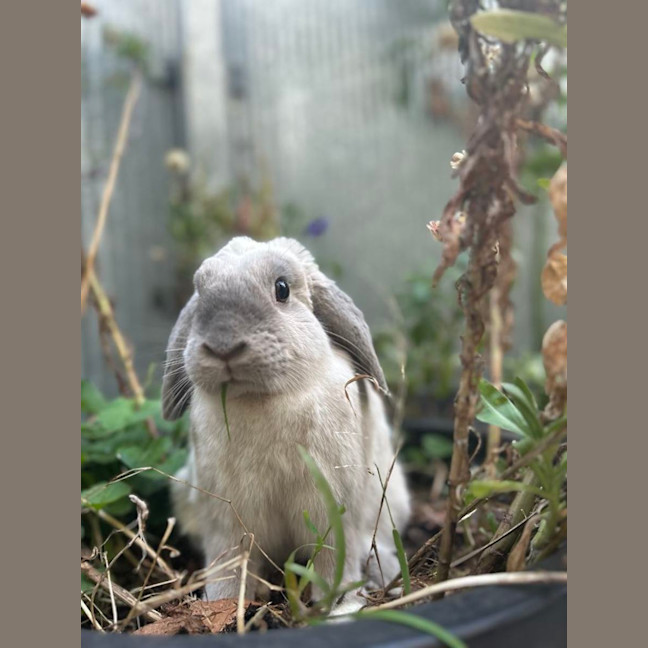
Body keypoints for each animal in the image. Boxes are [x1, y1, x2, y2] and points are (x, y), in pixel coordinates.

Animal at [162, 236, 410, 611]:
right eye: (200, 290)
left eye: (282, 289)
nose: (222, 346)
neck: (261, 399)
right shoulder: (227, 524)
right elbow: (228, 566)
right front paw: (220, 605)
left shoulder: (334, 515)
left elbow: (335, 560)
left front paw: (338, 604)